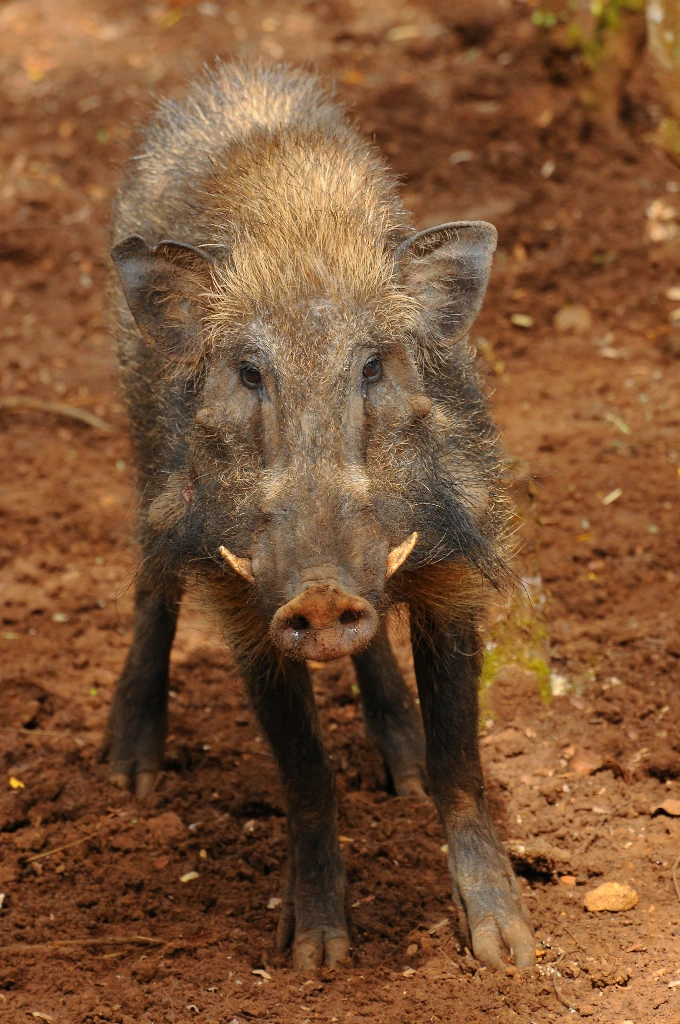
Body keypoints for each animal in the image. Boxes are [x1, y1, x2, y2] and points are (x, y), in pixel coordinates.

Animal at [102, 60, 534, 971]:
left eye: (373, 366)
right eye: (248, 372)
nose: (321, 595)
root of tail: (241, 74)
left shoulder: (452, 579)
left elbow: (459, 767)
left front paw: (507, 951)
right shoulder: (243, 607)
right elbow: (305, 777)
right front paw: (318, 957)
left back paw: (400, 767)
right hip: (144, 451)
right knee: (153, 582)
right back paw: (129, 774)